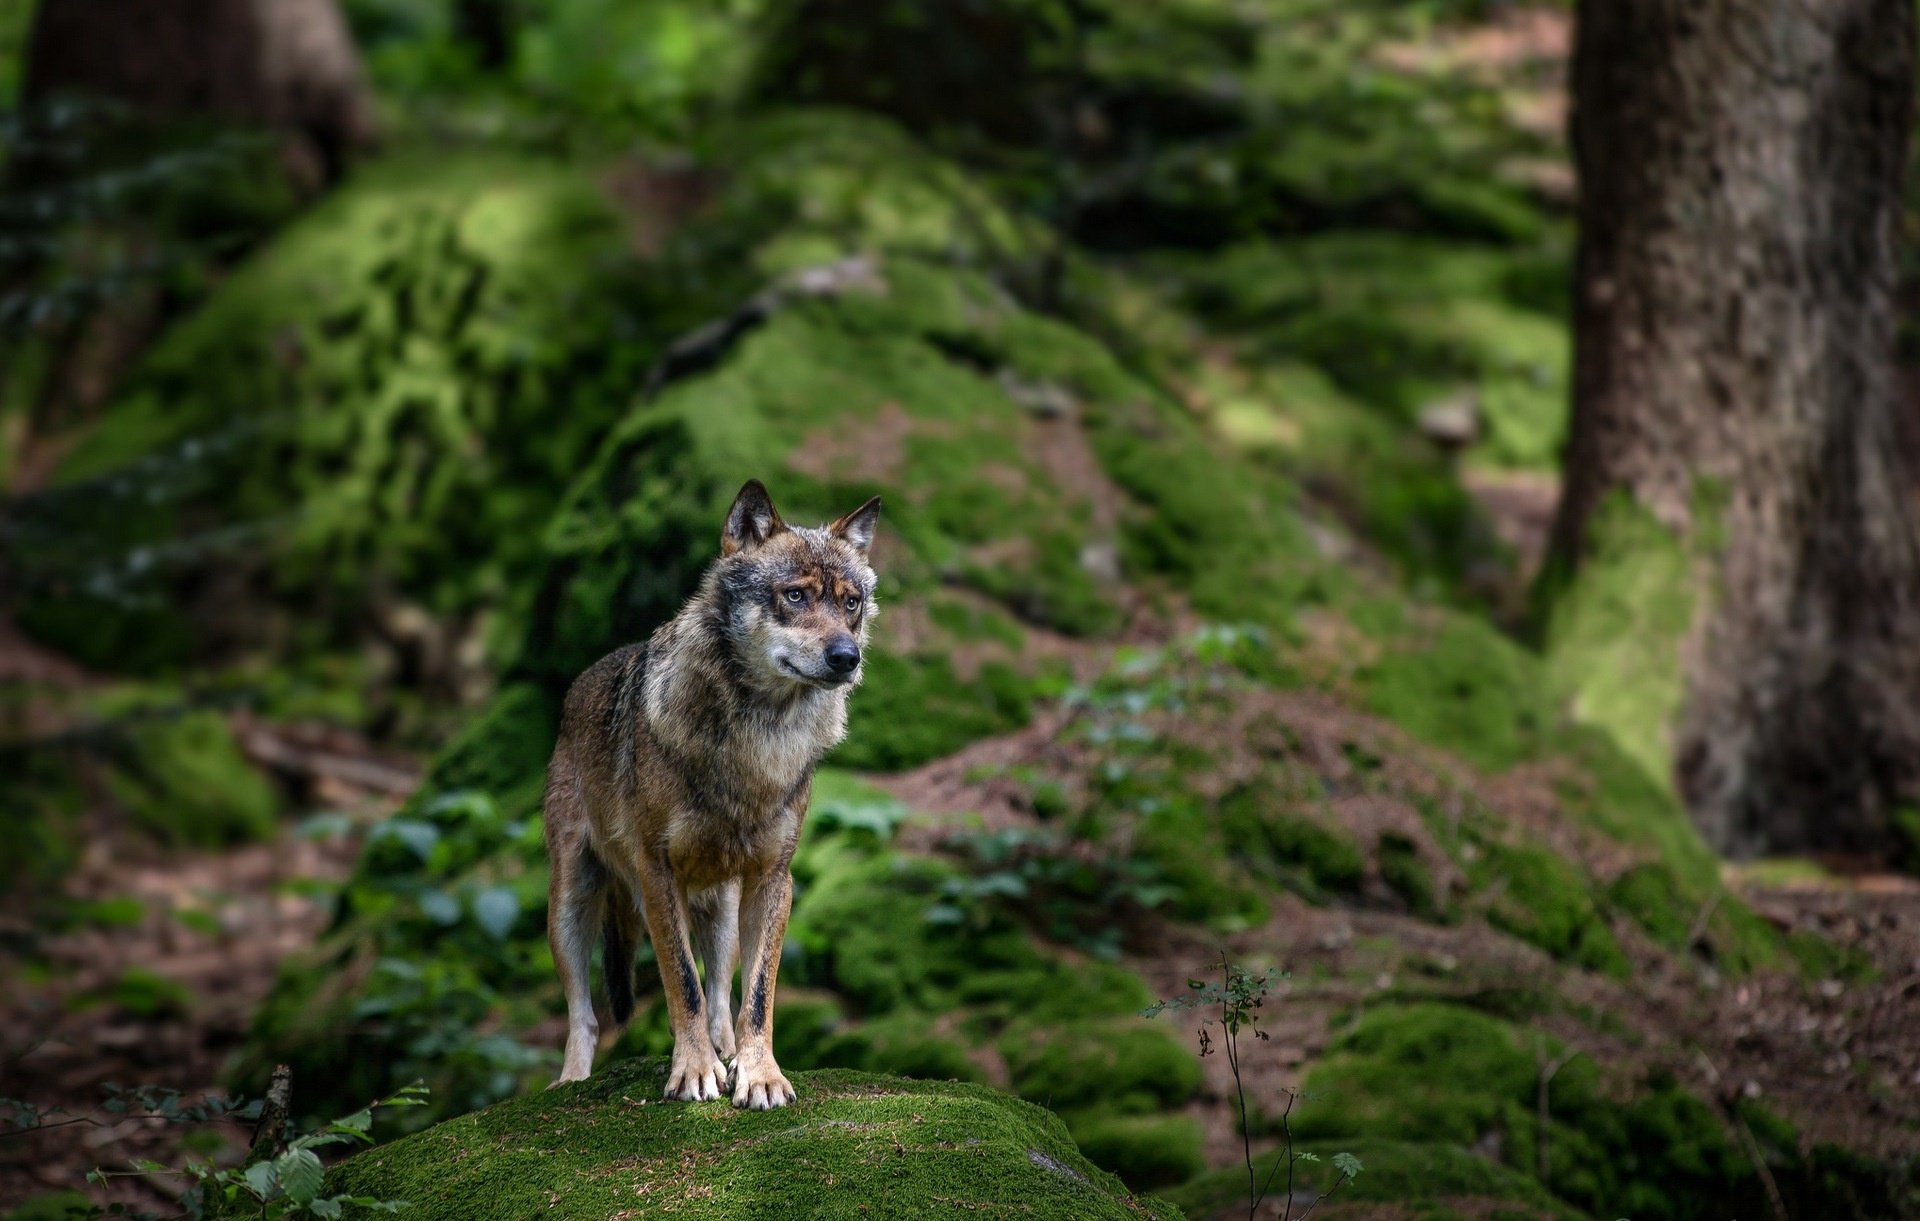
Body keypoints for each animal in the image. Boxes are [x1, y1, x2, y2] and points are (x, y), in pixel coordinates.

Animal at [541, 479, 881, 1109]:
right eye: (795, 596)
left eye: (851, 604)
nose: (848, 657)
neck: (757, 737)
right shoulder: (656, 874)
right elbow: (683, 984)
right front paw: (694, 1071)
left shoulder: (774, 878)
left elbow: (757, 994)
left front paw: (759, 1075)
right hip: (571, 902)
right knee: (586, 1014)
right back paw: (572, 1080)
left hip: (720, 906)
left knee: (724, 992)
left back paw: (729, 1055)